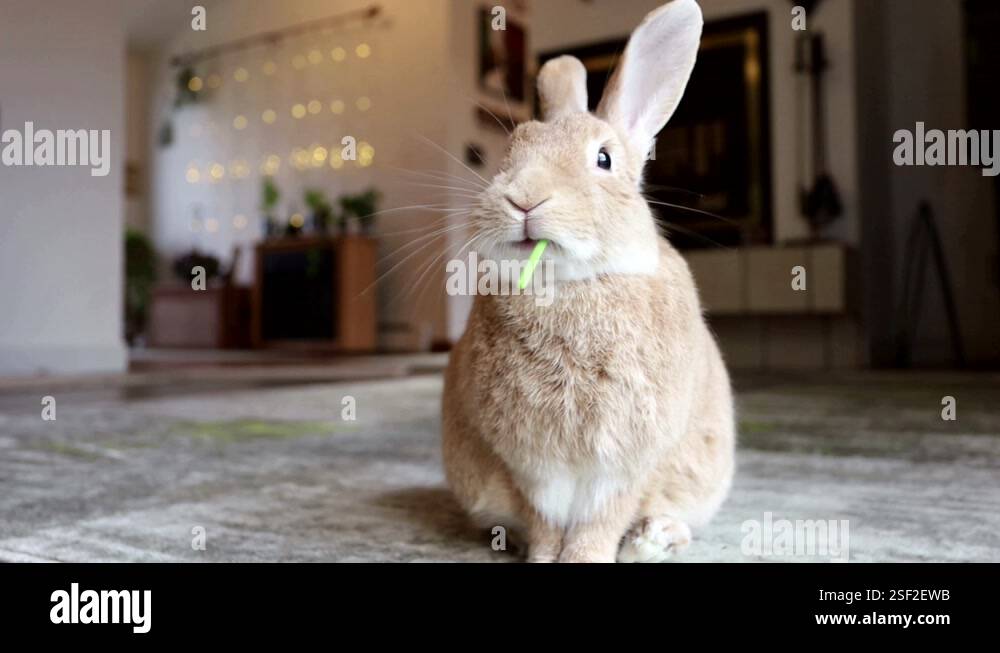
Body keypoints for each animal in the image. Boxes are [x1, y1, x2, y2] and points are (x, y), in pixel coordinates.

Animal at [442, 0, 734, 563]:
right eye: (510, 151)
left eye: (604, 159)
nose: (524, 198)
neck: (570, 285)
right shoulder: (535, 470)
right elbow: (546, 522)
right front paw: (542, 558)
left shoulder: (624, 467)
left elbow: (600, 521)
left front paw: (587, 558)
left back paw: (653, 540)